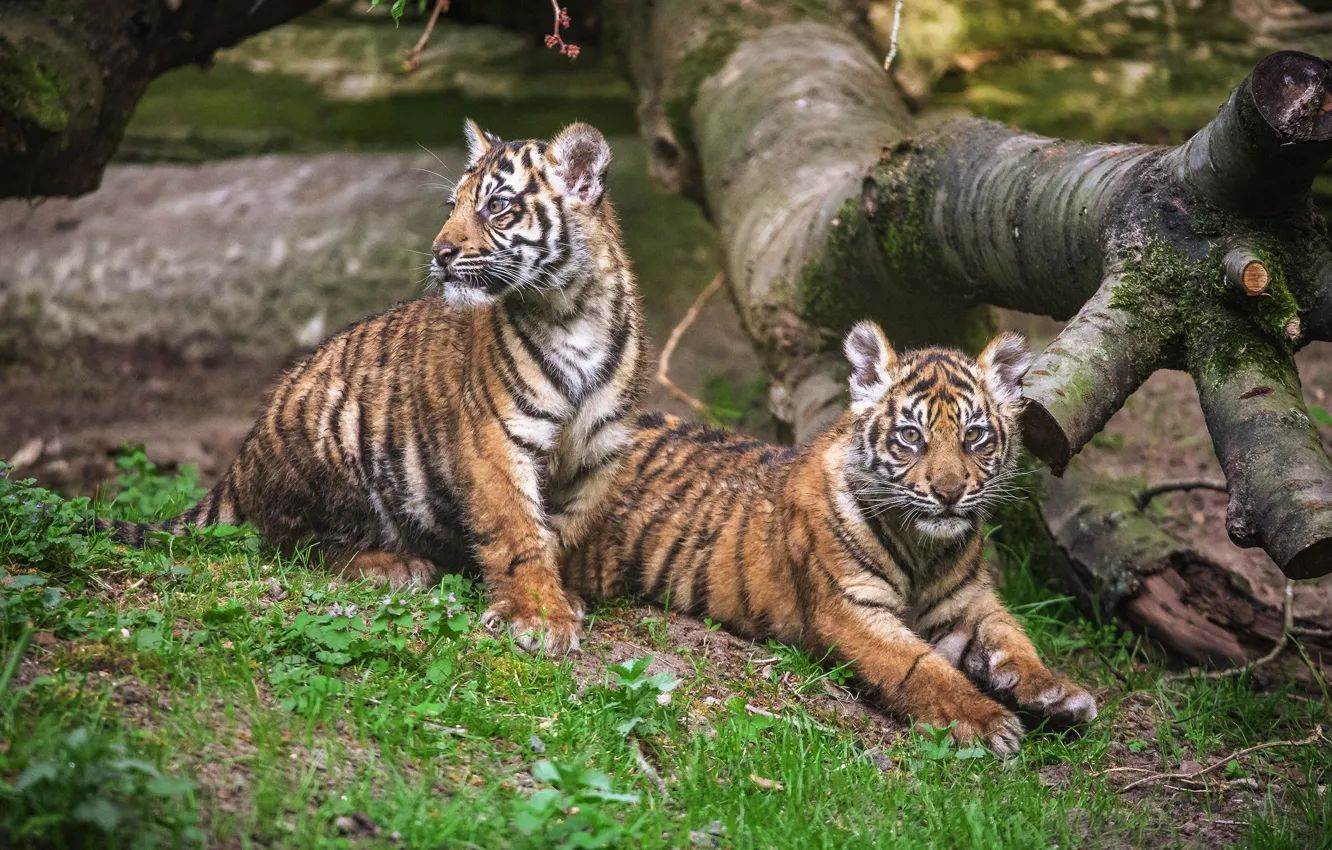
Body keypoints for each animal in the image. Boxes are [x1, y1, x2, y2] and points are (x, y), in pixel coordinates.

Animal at [99, 120, 647, 656]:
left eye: (497, 206)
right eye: (453, 206)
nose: (440, 253)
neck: (571, 310)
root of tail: (239, 462)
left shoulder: (599, 453)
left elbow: (563, 533)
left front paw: (563, 598)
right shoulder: (496, 439)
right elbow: (517, 534)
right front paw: (539, 617)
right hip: (331, 430)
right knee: (293, 546)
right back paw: (395, 567)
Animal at [562, 322, 1096, 752]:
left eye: (974, 436)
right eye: (910, 436)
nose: (948, 493)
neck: (924, 549)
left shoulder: (969, 604)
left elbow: (1014, 638)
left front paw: (1057, 692)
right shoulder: (851, 611)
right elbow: (922, 668)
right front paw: (988, 722)